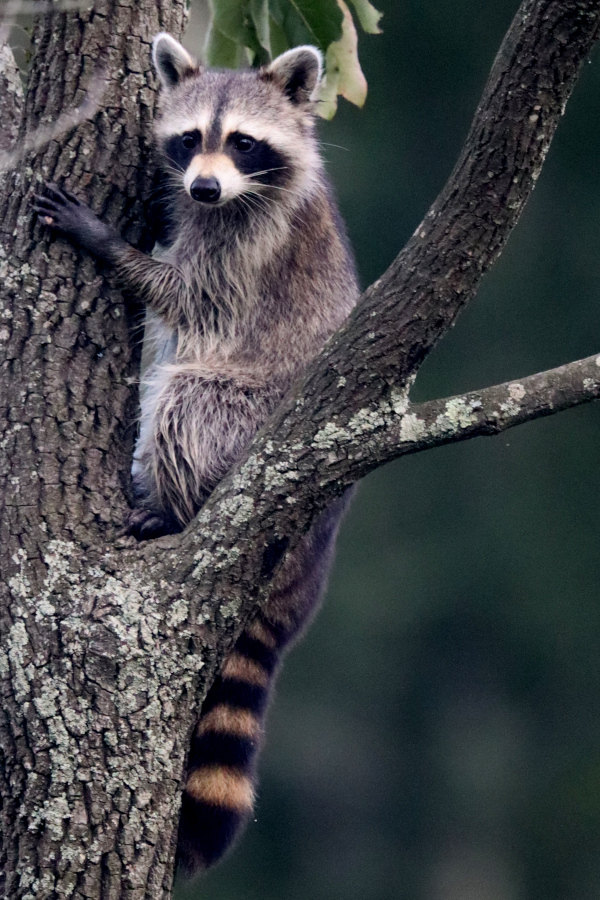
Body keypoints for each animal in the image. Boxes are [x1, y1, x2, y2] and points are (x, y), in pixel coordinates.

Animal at [34, 33, 359, 873]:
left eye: (242, 141)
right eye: (189, 140)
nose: (203, 188)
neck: (227, 198)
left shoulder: (246, 246)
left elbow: (186, 297)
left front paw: (112, 244)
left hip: (253, 419)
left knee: (185, 398)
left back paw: (177, 511)